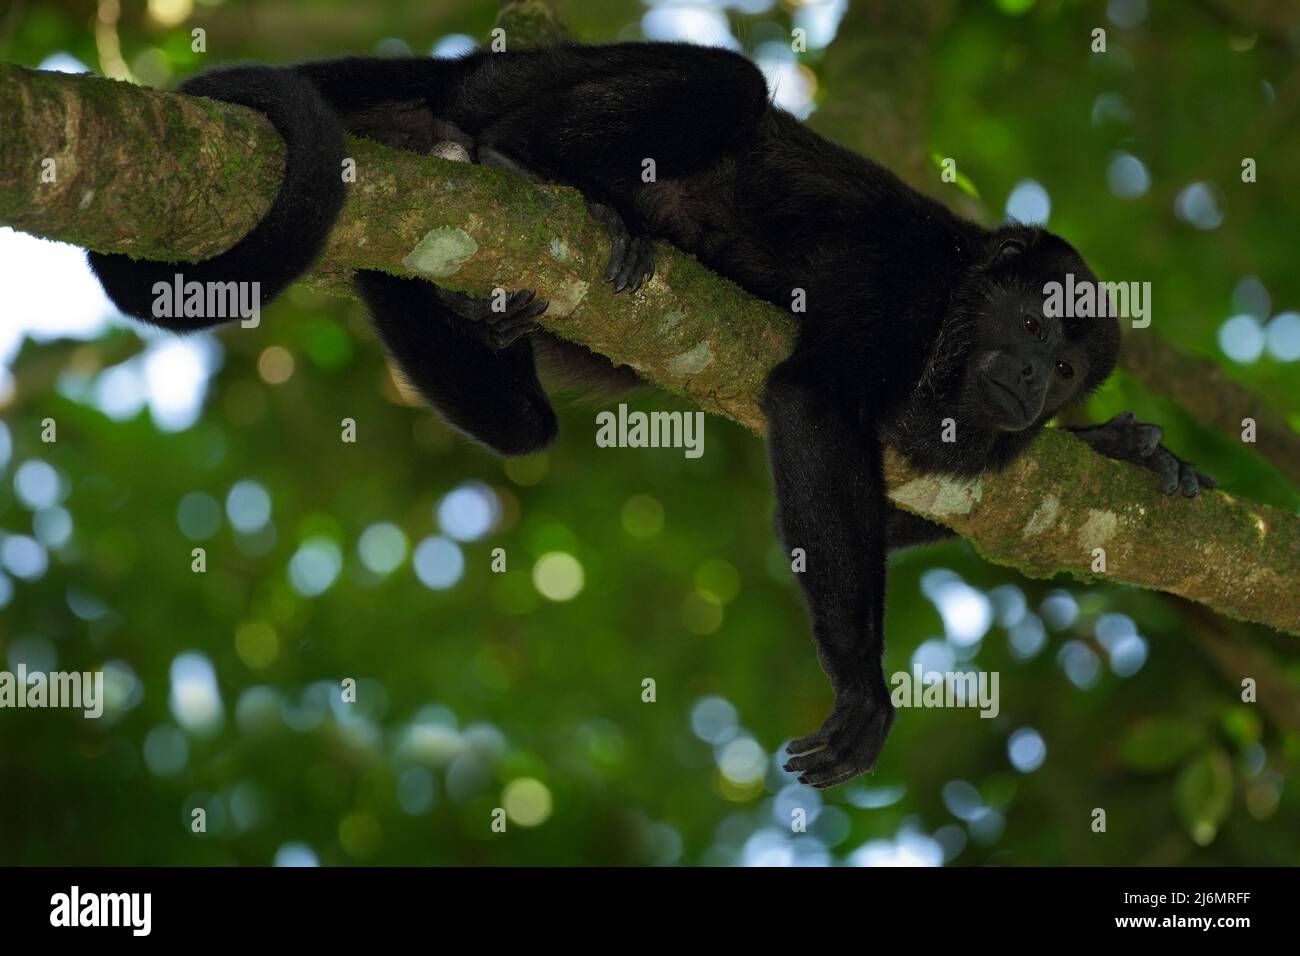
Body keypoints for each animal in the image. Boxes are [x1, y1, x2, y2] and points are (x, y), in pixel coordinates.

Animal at [86, 42, 1214, 788]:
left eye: (1066, 366)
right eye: (1031, 324)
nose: (1031, 382)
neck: (953, 306)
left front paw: (1127, 447)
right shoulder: (897, 290)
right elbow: (809, 399)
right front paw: (864, 682)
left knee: (523, 426)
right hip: (518, 78)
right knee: (725, 83)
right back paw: (521, 160)